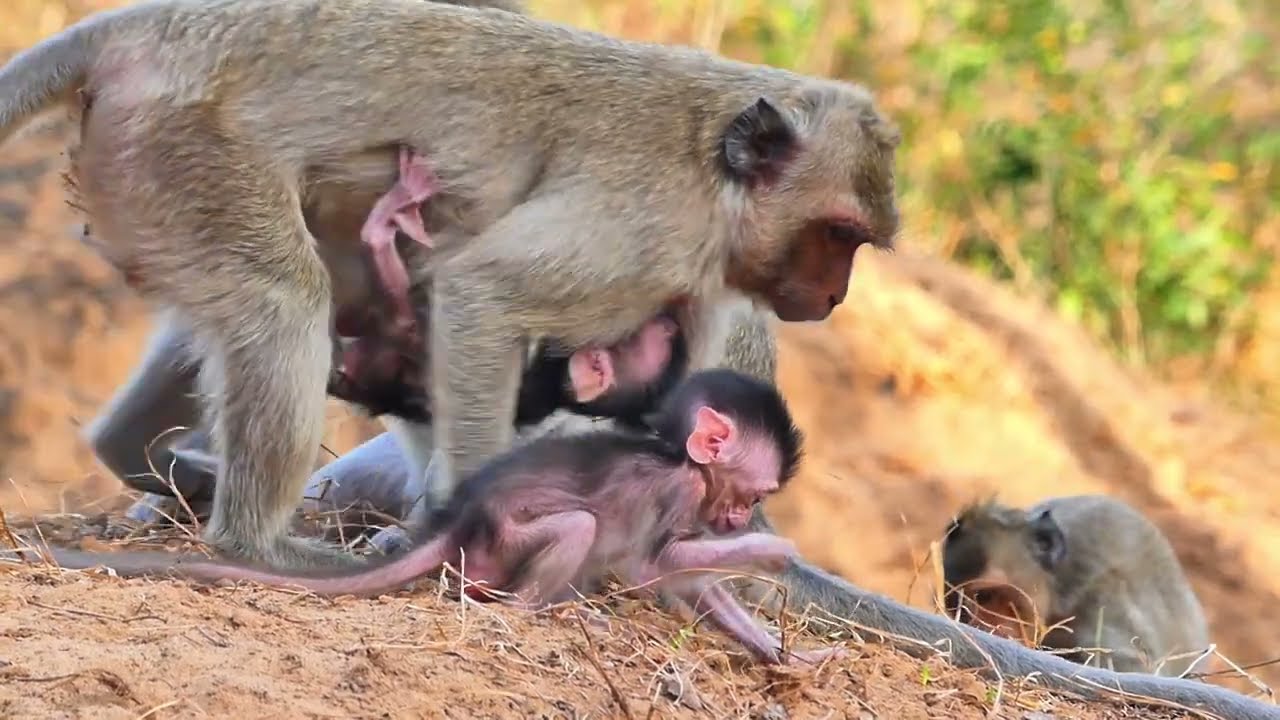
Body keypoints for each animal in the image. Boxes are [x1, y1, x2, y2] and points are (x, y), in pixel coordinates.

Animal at [6, 370, 840, 666]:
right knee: (572, 533)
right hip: (500, 548)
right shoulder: (670, 495)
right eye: (751, 492)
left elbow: (695, 585)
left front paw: (784, 652)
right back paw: (534, 610)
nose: (739, 518)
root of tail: (457, 525)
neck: (679, 460)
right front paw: (775, 553)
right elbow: (653, 566)